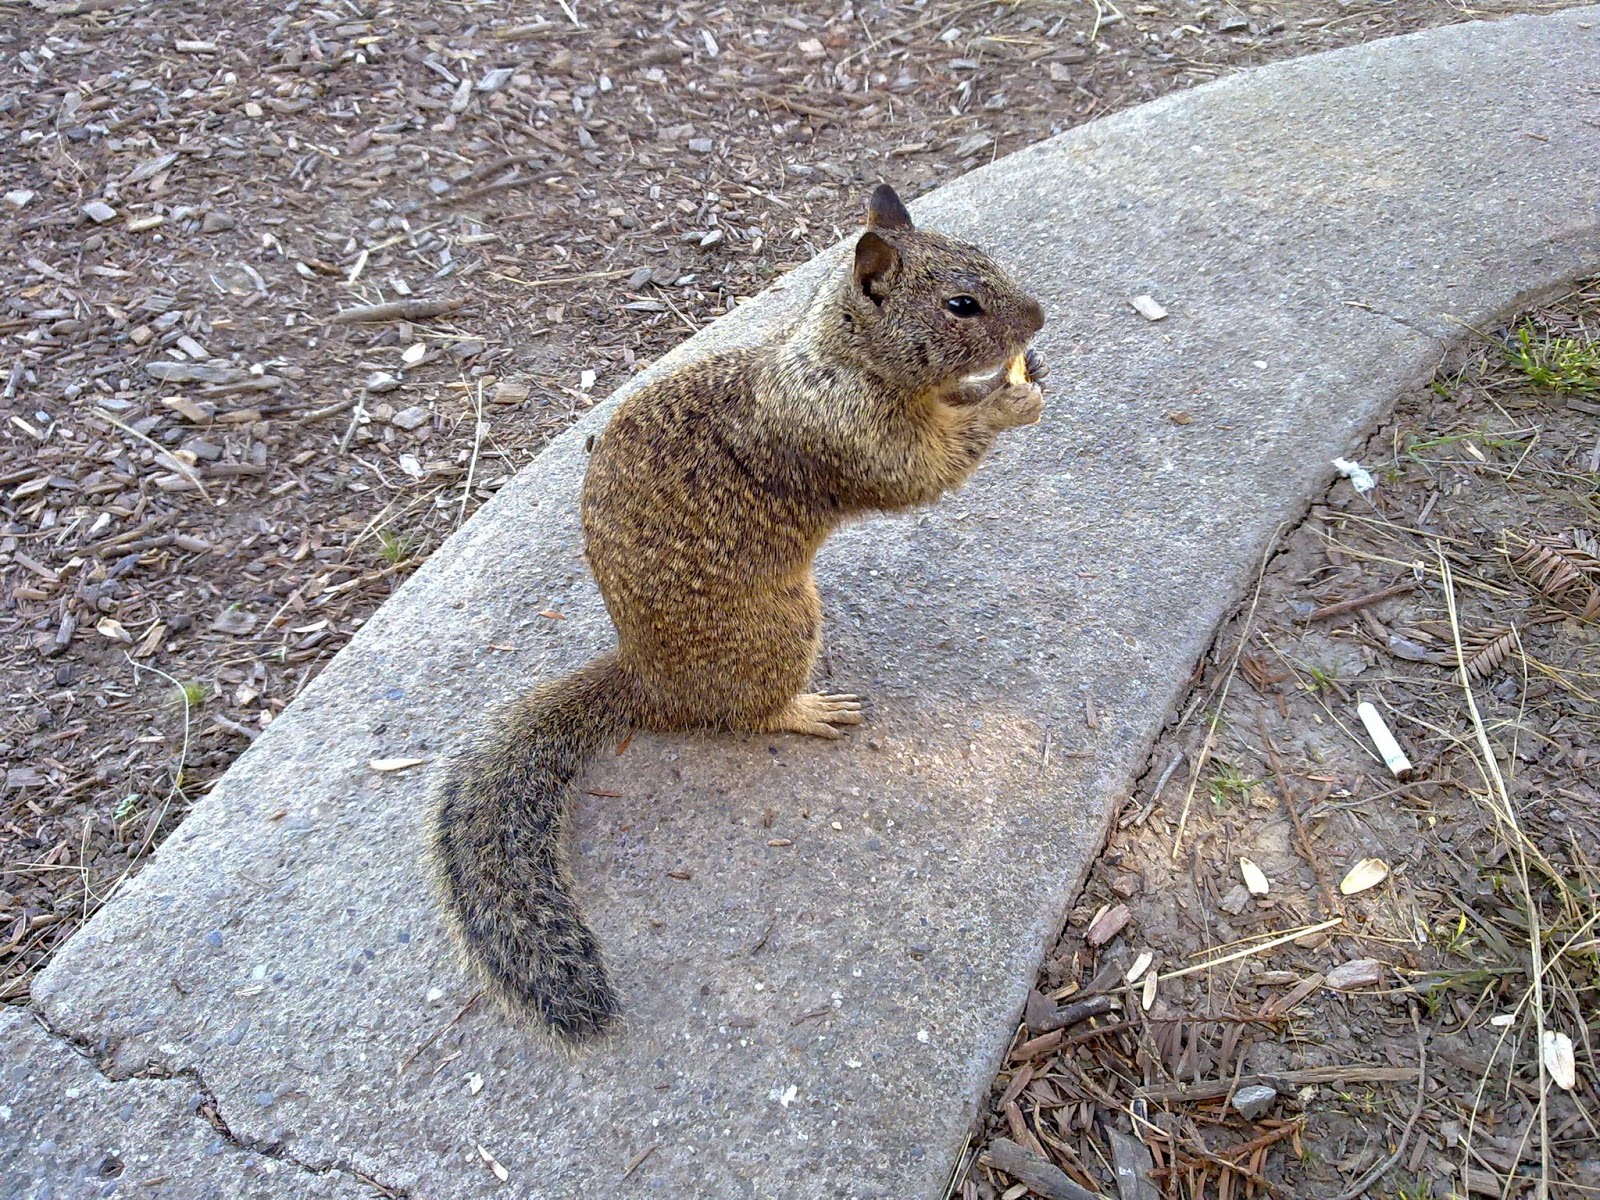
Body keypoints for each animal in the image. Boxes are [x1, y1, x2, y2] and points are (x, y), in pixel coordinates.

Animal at [429, 184, 1047, 1042]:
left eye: (988, 258)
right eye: (962, 304)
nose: (1040, 318)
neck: (840, 359)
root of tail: (649, 681)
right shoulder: (852, 439)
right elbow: (925, 472)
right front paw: (1009, 400)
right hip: (781, 626)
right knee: (745, 714)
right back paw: (807, 710)